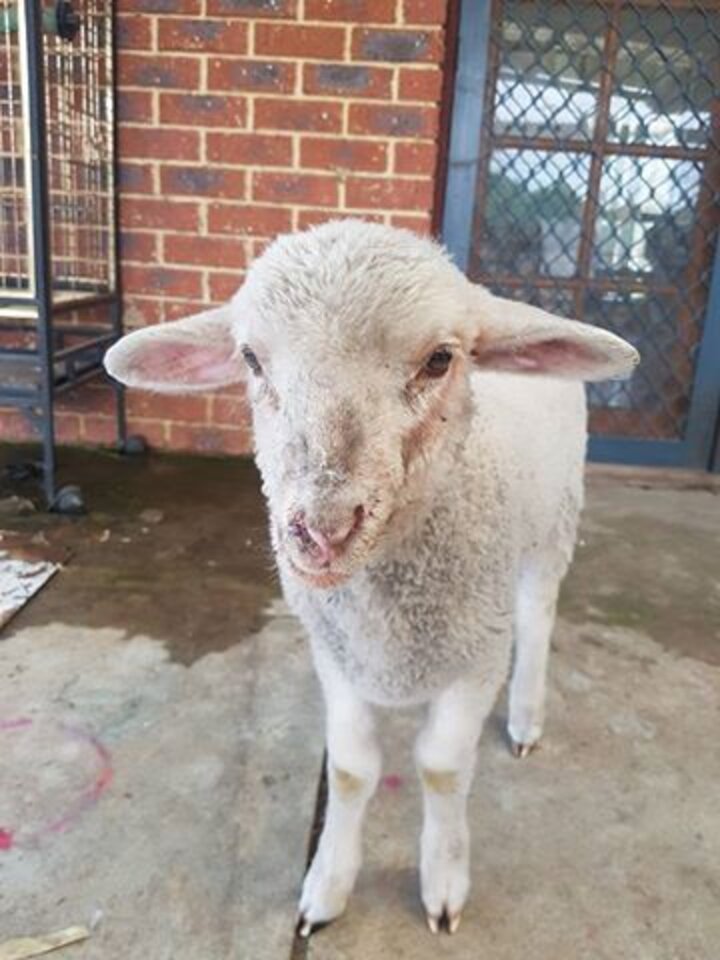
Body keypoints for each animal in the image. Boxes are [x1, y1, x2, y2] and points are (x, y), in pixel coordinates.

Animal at [104, 219, 639, 937]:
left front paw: (443, 880)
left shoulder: (476, 657)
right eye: (250, 360)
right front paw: (327, 886)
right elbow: (353, 771)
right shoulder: (338, 656)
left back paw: (527, 716)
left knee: (538, 617)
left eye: (439, 359)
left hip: (553, 526)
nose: (322, 529)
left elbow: (441, 768)